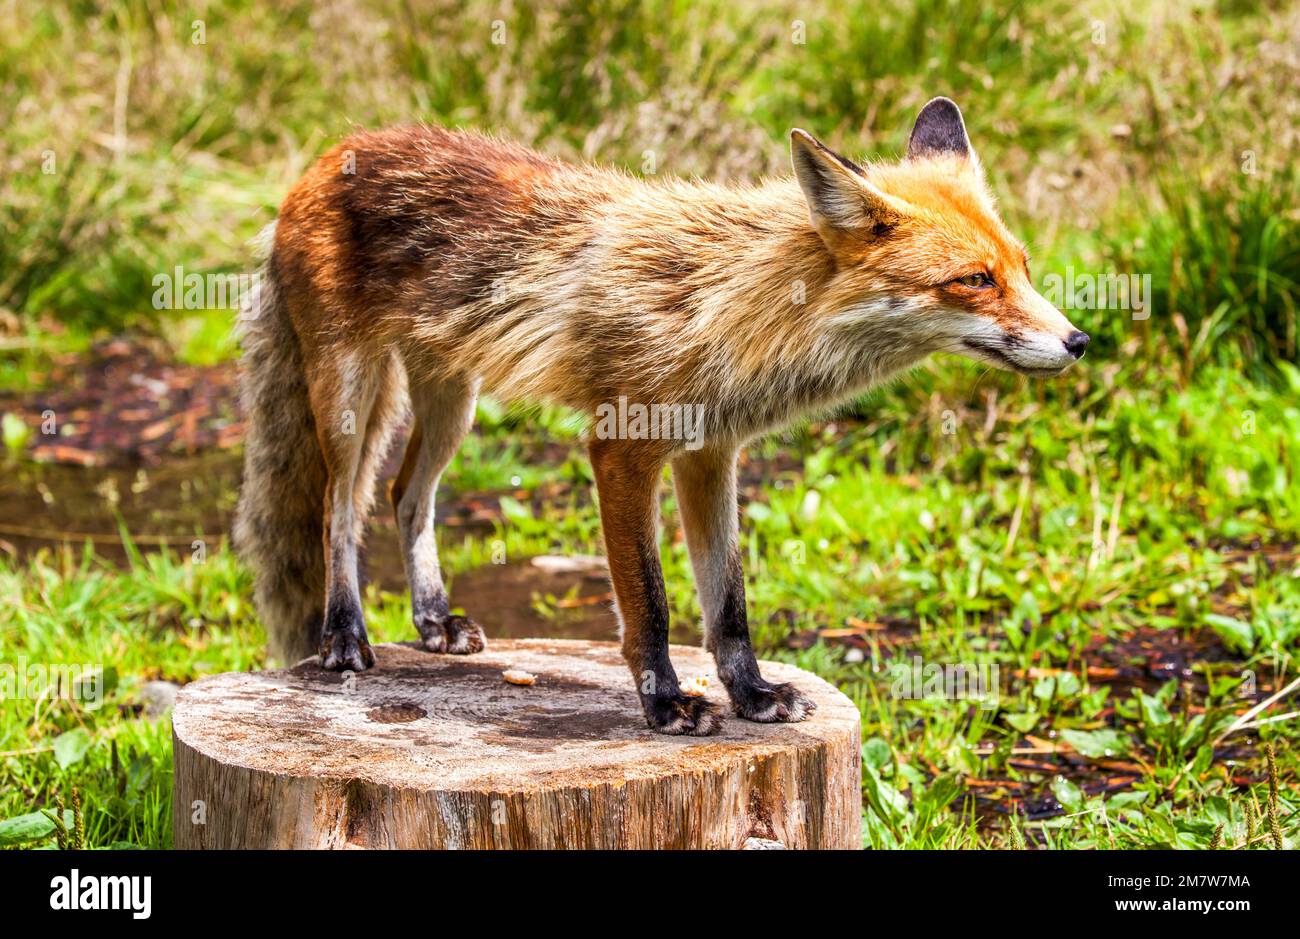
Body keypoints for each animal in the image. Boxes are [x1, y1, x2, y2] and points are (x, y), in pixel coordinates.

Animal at [234, 97, 1088, 736]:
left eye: (1021, 269)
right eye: (973, 280)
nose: (1080, 341)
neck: (732, 305)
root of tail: (336, 148)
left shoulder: (712, 454)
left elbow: (729, 606)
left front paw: (751, 695)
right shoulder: (622, 448)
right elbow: (652, 602)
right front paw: (668, 702)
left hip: (453, 400)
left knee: (405, 495)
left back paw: (433, 620)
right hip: (352, 395)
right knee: (340, 506)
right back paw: (344, 633)